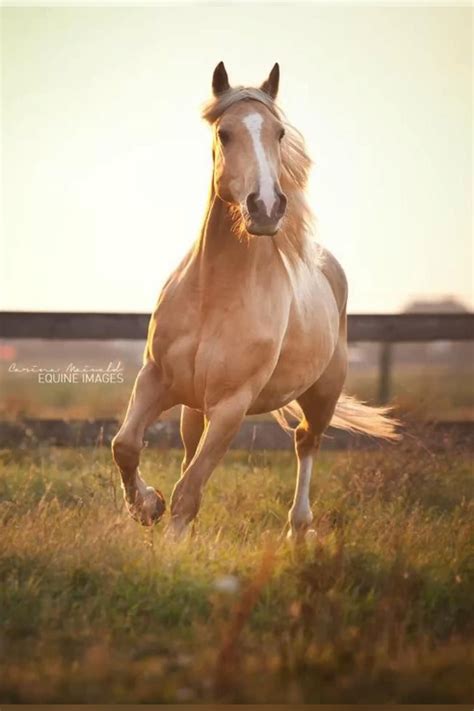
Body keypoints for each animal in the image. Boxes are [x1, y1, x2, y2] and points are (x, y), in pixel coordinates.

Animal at [112, 62, 398, 540]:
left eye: (279, 133)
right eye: (224, 133)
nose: (265, 207)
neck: (212, 296)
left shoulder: (232, 406)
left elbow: (189, 491)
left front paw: (170, 546)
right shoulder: (156, 379)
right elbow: (126, 445)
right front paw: (146, 507)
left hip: (322, 393)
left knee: (306, 442)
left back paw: (298, 529)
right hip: (193, 406)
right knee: (189, 449)